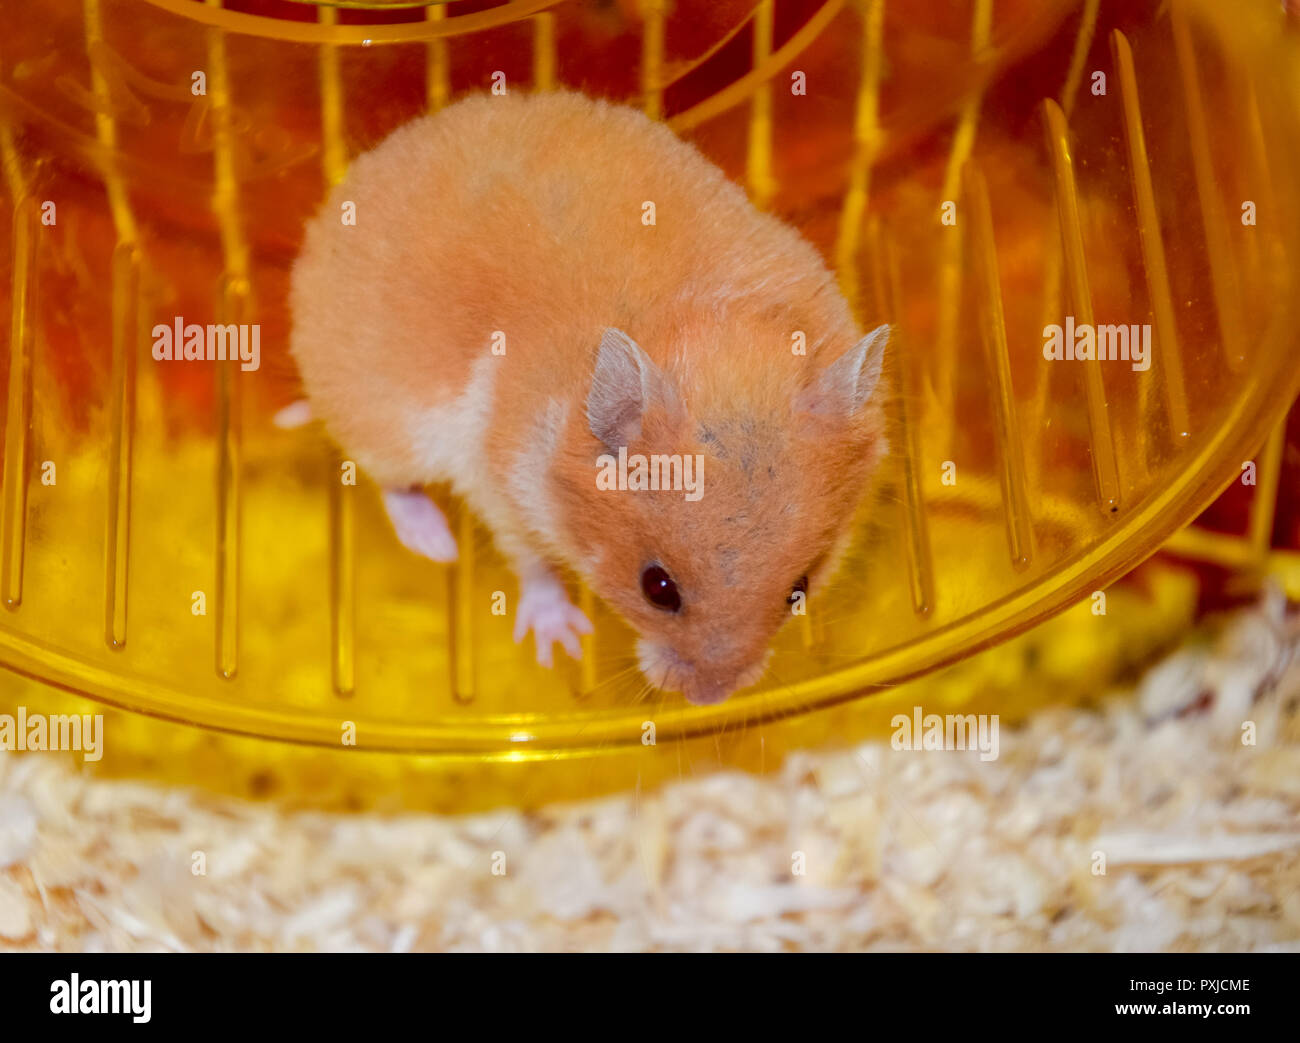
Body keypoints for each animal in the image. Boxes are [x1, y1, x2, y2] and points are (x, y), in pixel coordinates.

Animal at [288, 90, 889, 705]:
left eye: (800, 588)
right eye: (657, 588)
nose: (710, 697)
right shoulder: (499, 484)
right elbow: (532, 563)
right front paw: (562, 645)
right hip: (387, 424)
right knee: (389, 482)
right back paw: (439, 545)